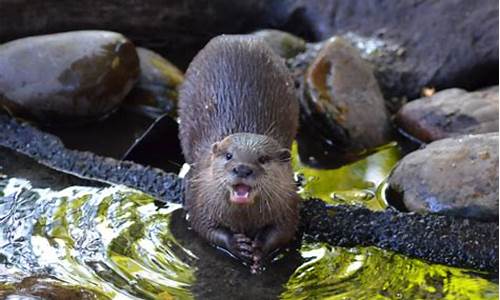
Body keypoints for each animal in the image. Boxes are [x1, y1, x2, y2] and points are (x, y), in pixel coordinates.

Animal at [178, 34, 298, 270]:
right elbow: (202, 226)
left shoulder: (288, 201)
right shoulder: (199, 196)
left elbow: (284, 230)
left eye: (263, 159)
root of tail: (237, 37)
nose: (242, 169)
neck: (244, 219)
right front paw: (236, 245)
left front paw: (260, 248)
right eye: (229, 155)